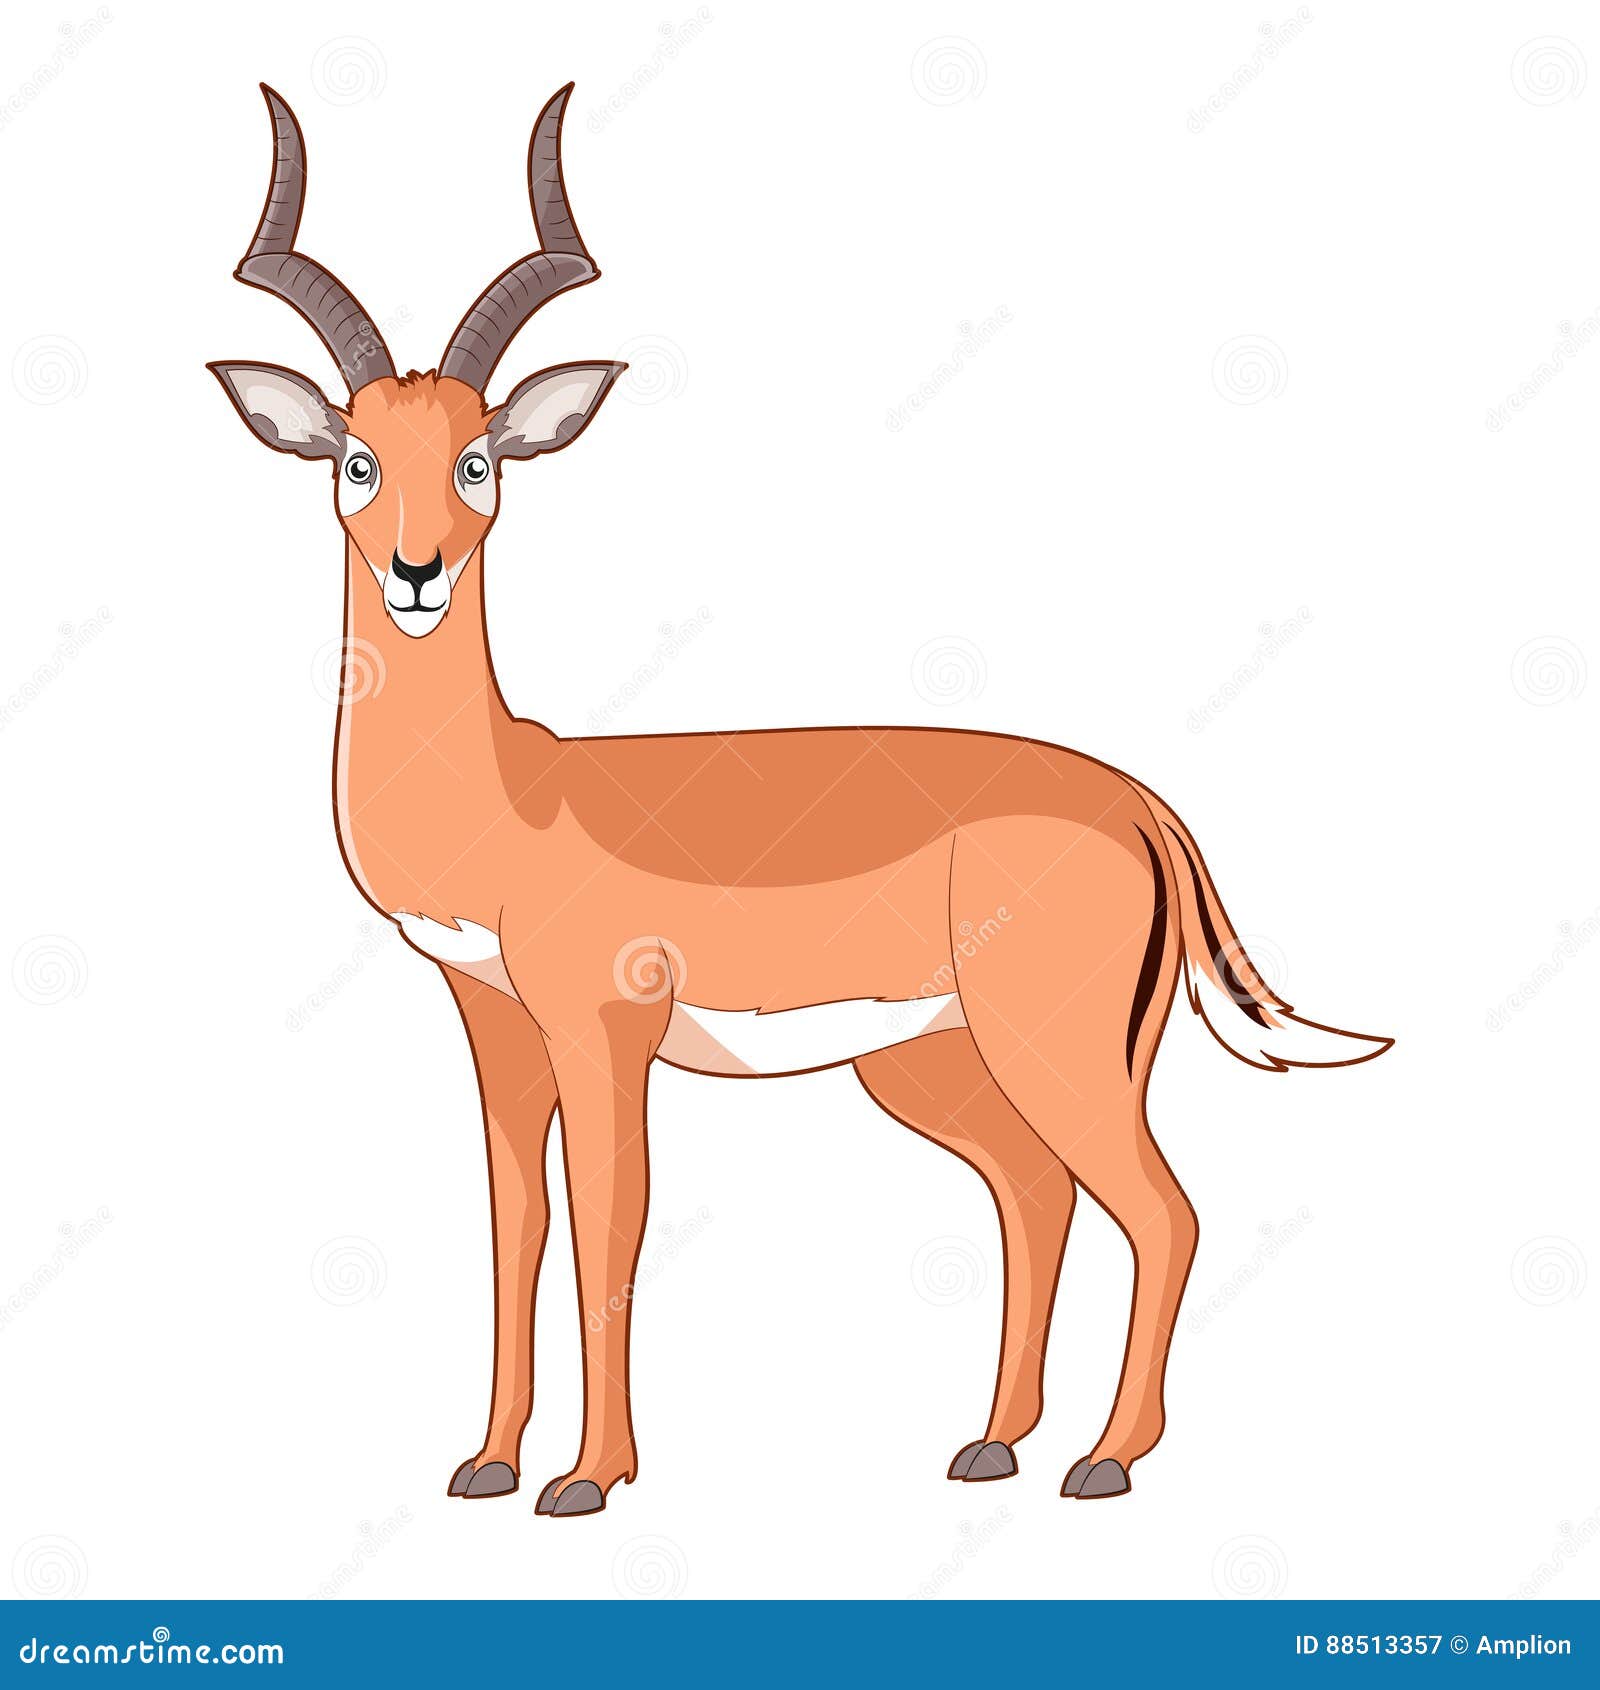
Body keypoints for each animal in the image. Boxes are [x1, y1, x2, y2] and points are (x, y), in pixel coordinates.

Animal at [210, 83, 1391, 1517]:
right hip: (934, 1059)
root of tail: (1144, 807)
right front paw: (486, 1463)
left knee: (1162, 1208)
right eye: (357, 459)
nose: (418, 572)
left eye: (482, 458)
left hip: (1053, 1049)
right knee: (1038, 1193)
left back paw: (1103, 1460)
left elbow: (609, 1229)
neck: (515, 797)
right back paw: (992, 1443)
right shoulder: (499, 1030)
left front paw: (588, 1479)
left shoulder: (604, 1032)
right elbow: (515, 1229)